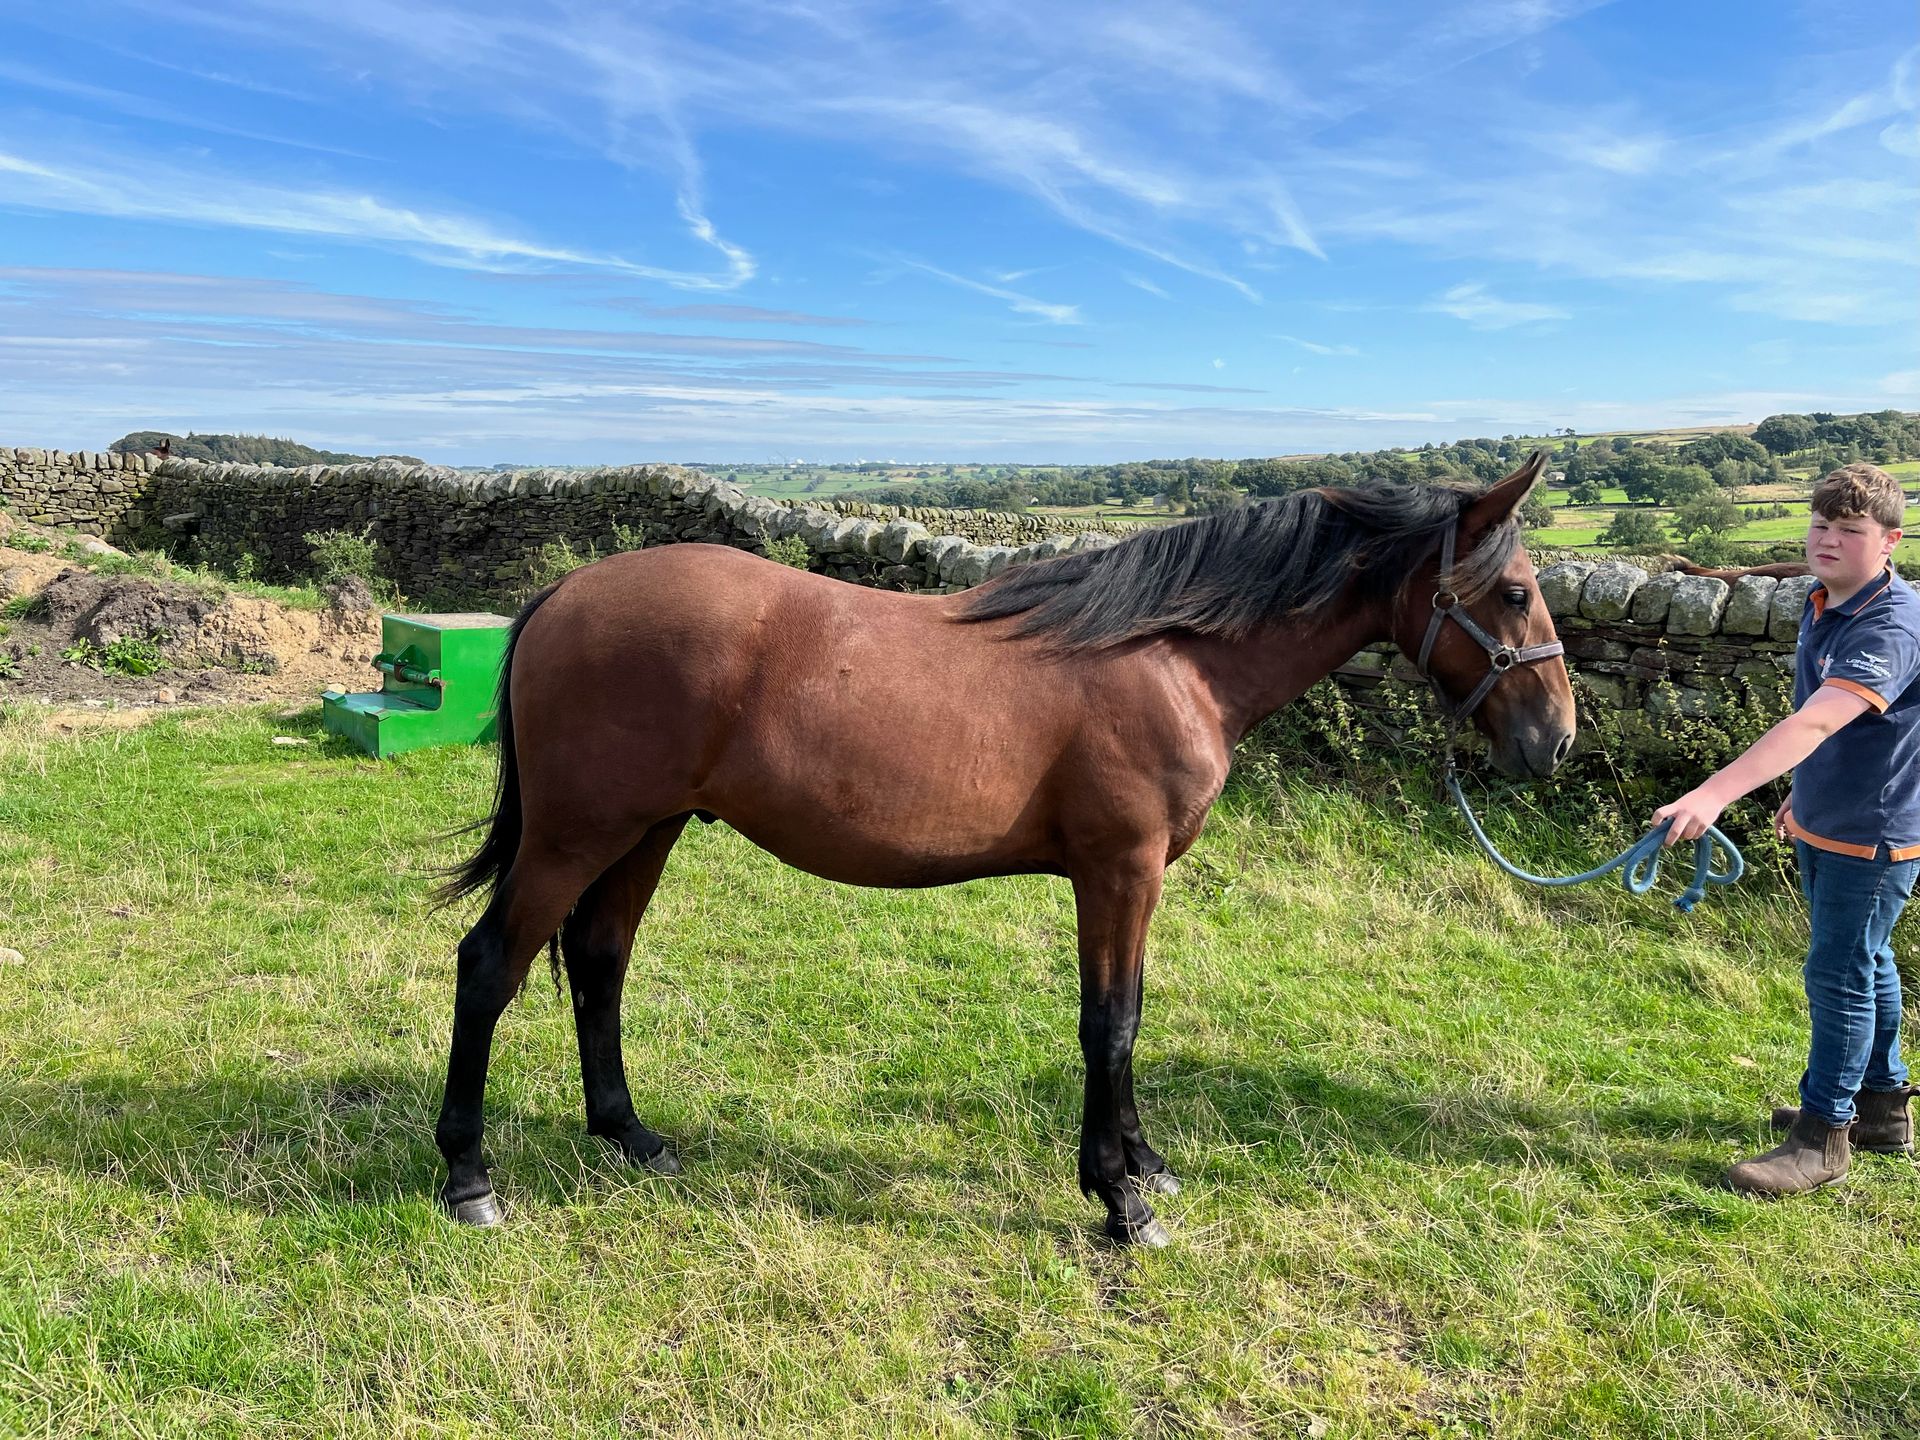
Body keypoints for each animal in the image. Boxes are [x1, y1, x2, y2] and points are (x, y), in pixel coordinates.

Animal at [432, 453, 1576, 1246]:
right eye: (1515, 592)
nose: (1555, 738)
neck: (1170, 657)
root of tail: (566, 596)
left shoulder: (1134, 880)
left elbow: (1131, 1017)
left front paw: (1143, 1164)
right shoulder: (1119, 870)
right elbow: (1109, 1024)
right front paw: (1120, 1202)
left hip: (647, 830)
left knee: (599, 961)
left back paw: (630, 1136)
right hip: (578, 834)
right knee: (490, 966)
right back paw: (469, 1180)